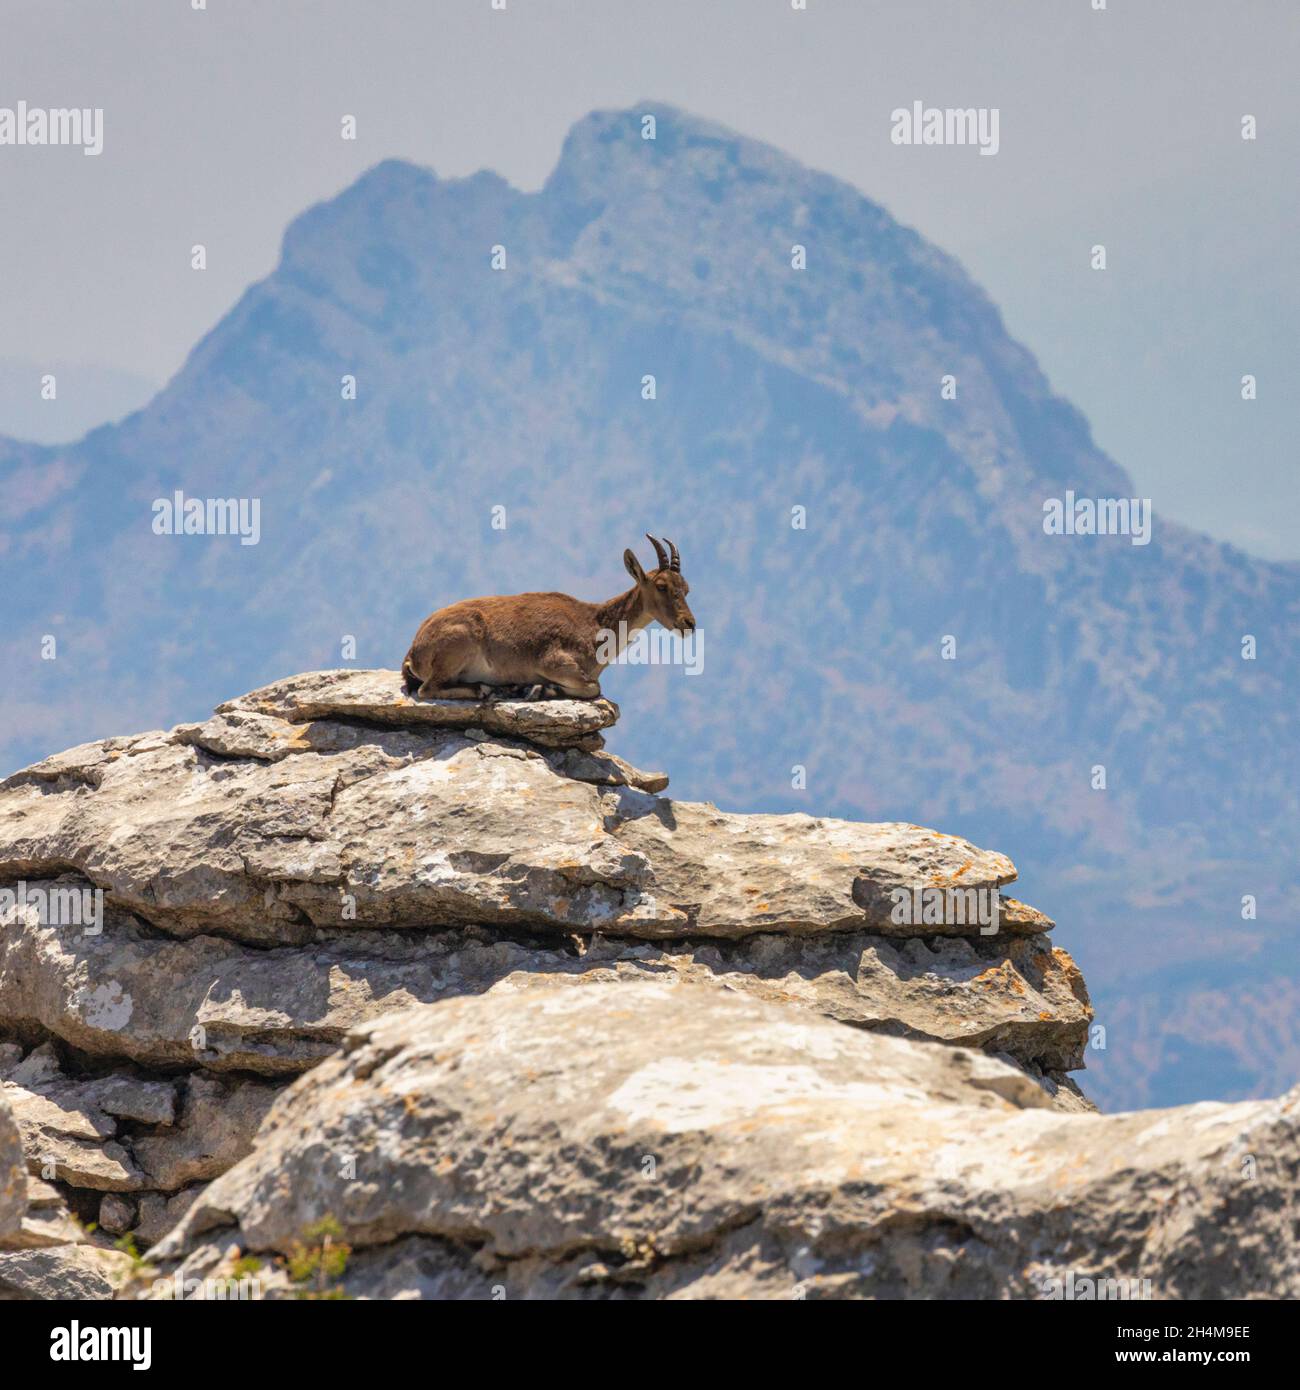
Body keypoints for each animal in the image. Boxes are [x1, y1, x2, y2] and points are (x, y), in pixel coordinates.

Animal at [401, 535, 695, 701]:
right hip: (459, 644)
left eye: (686, 588)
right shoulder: (553, 662)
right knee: (428, 689)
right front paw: (537, 690)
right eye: (661, 586)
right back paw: (486, 690)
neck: (596, 625)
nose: (689, 624)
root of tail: (414, 651)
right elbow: (593, 687)